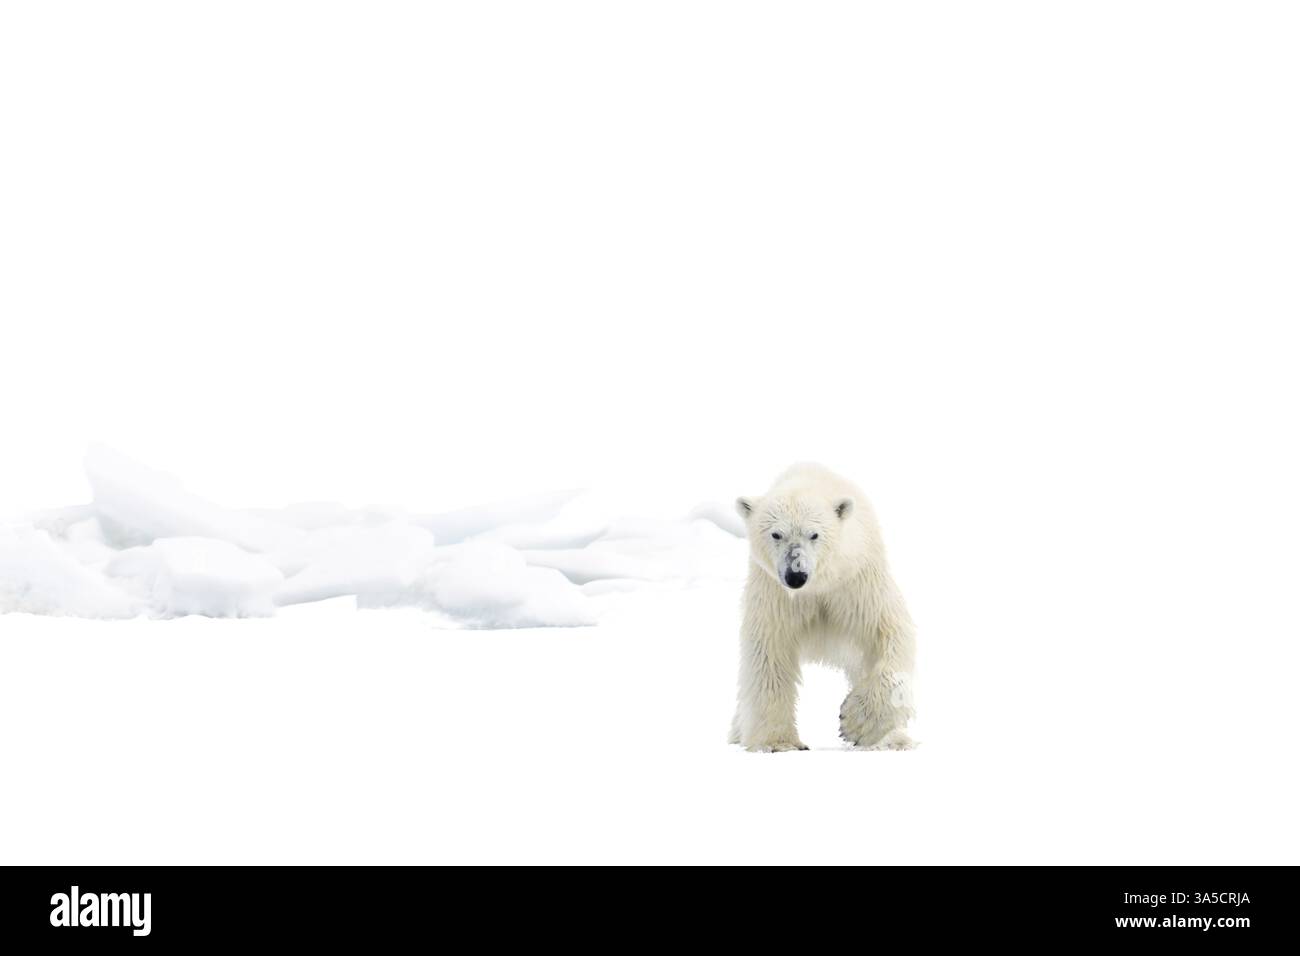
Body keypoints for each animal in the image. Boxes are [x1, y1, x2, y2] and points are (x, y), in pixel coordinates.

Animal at [728, 463, 916, 752]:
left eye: (814, 534)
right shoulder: (775, 594)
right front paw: (777, 742)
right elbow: (768, 649)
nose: (796, 575)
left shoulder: (856, 582)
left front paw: (856, 722)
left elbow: (888, 632)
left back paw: (894, 739)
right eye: (776, 534)